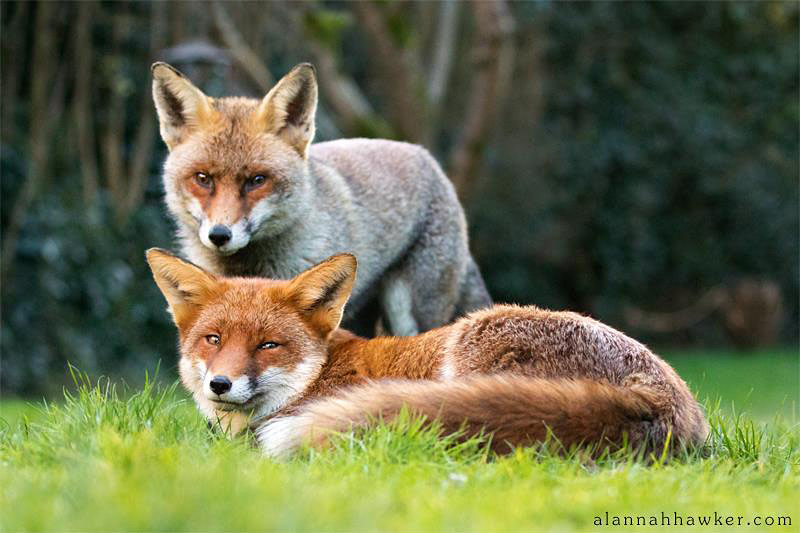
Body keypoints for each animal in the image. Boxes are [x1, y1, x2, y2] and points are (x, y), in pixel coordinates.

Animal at [147, 248, 709, 457]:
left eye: (268, 345)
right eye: (213, 340)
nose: (220, 384)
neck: (317, 376)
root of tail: (668, 399)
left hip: (472, 343)